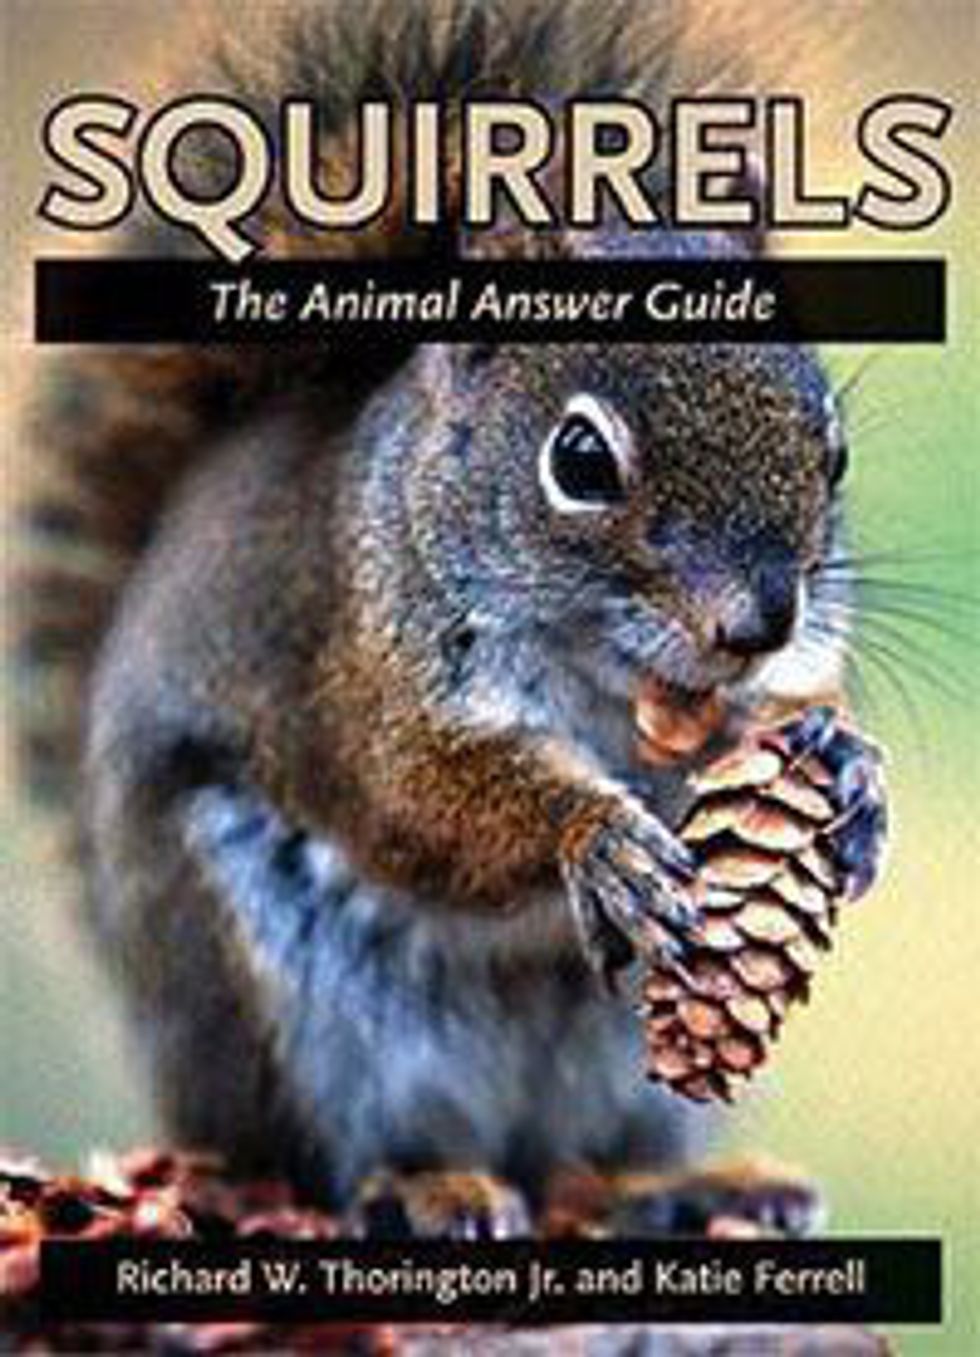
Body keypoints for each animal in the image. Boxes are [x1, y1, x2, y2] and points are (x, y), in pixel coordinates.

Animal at [15, 0, 888, 1238]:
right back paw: (427, 1185)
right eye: (579, 461)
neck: (605, 674)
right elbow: (414, 795)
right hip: (281, 1002)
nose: (759, 620)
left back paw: (686, 1183)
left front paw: (844, 767)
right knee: (328, 1158)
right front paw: (594, 836)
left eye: (832, 448)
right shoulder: (361, 674)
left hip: (620, 1069)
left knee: (594, 1157)